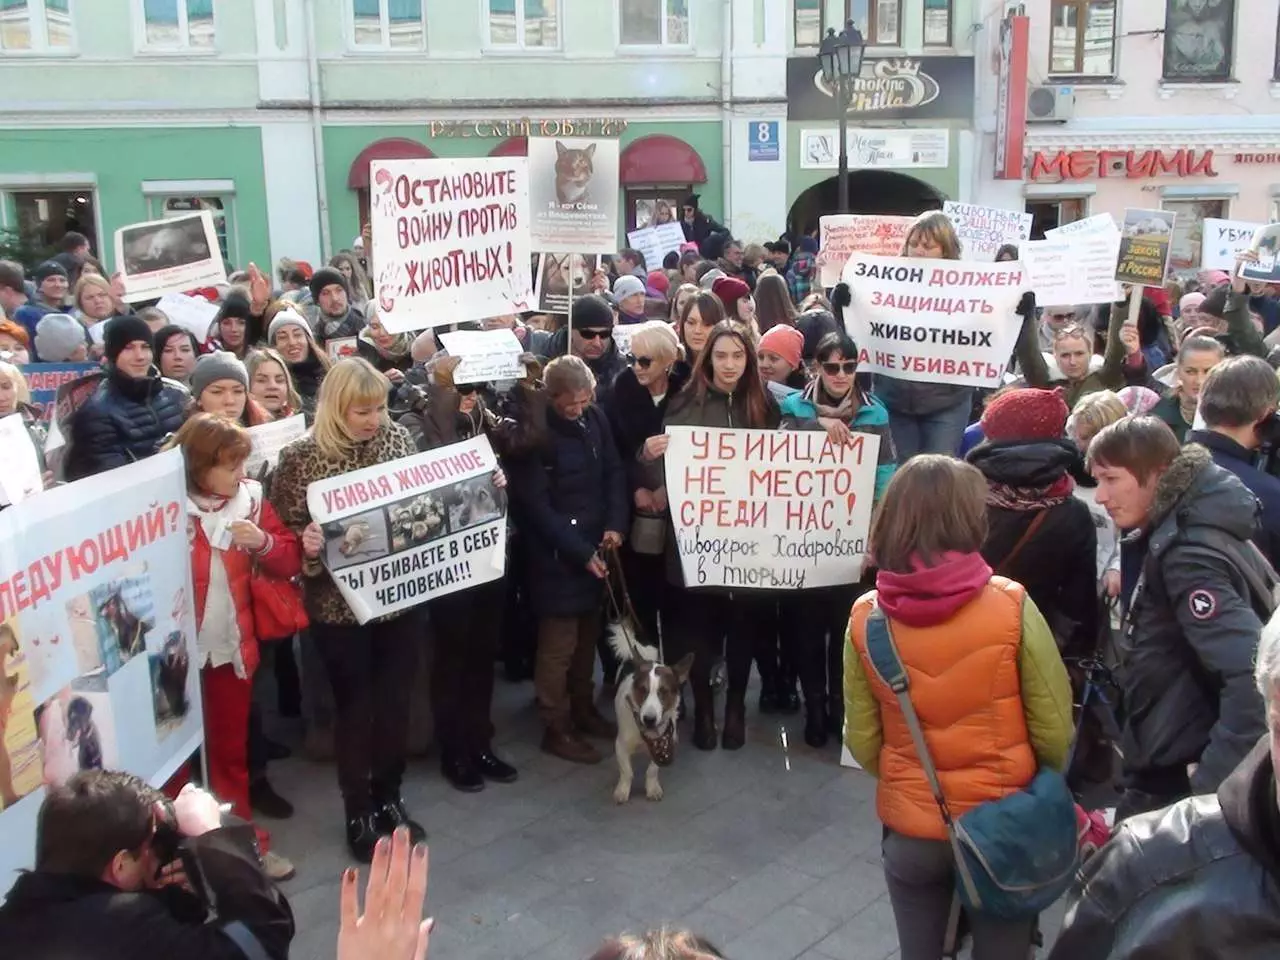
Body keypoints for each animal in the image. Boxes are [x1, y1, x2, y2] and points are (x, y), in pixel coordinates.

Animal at [611, 627, 696, 808]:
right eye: (642, 690)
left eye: (664, 692)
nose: (649, 719)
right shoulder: (620, 745)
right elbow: (626, 771)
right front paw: (623, 790)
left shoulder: (666, 745)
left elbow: (652, 770)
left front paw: (652, 788)